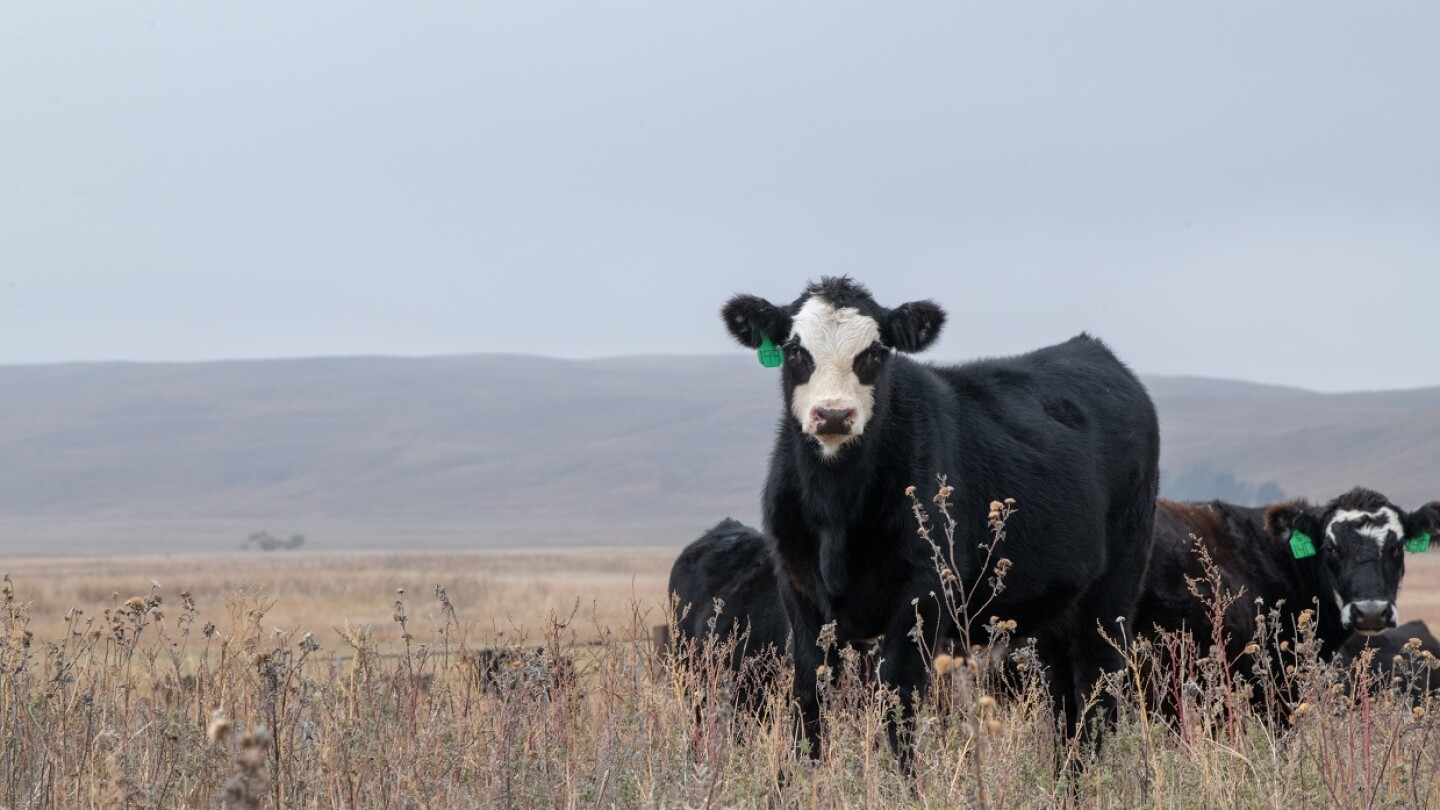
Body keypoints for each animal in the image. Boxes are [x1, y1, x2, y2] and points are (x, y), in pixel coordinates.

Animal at [721, 276, 1161, 767]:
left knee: (1098, 687)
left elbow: (898, 701)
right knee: (1064, 698)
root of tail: (1091, 351)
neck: (836, 510)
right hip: (1056, 606)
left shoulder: (923, 590)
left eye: (875, 352)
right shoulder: (798, 589)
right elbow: (809, 698)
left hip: (1113, 590)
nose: (833, 414)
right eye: (796, 349)